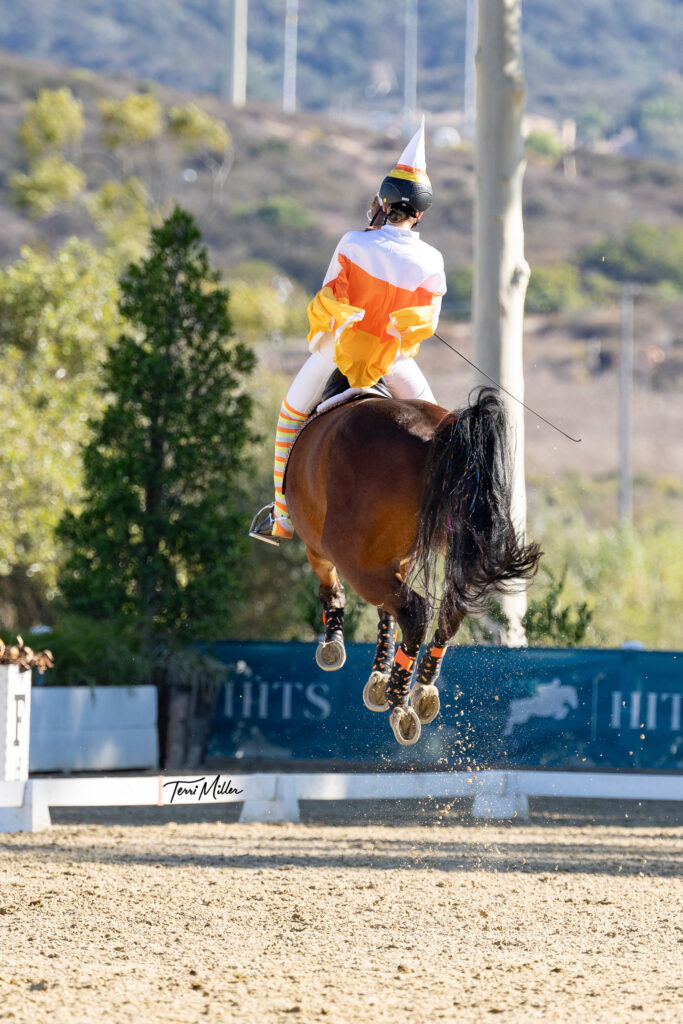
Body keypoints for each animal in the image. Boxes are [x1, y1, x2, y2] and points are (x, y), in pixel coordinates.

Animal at [284, 387, 542, 746]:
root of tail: (439, 431)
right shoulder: (396, 560)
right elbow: (386, 612)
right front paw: (378, 674)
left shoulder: (320, 545)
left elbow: (332, 585)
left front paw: (335, 643)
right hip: (461, 543)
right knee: (450, 609)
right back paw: (420, 686)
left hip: (353, 557)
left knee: (415, 611)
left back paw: (399, 703)